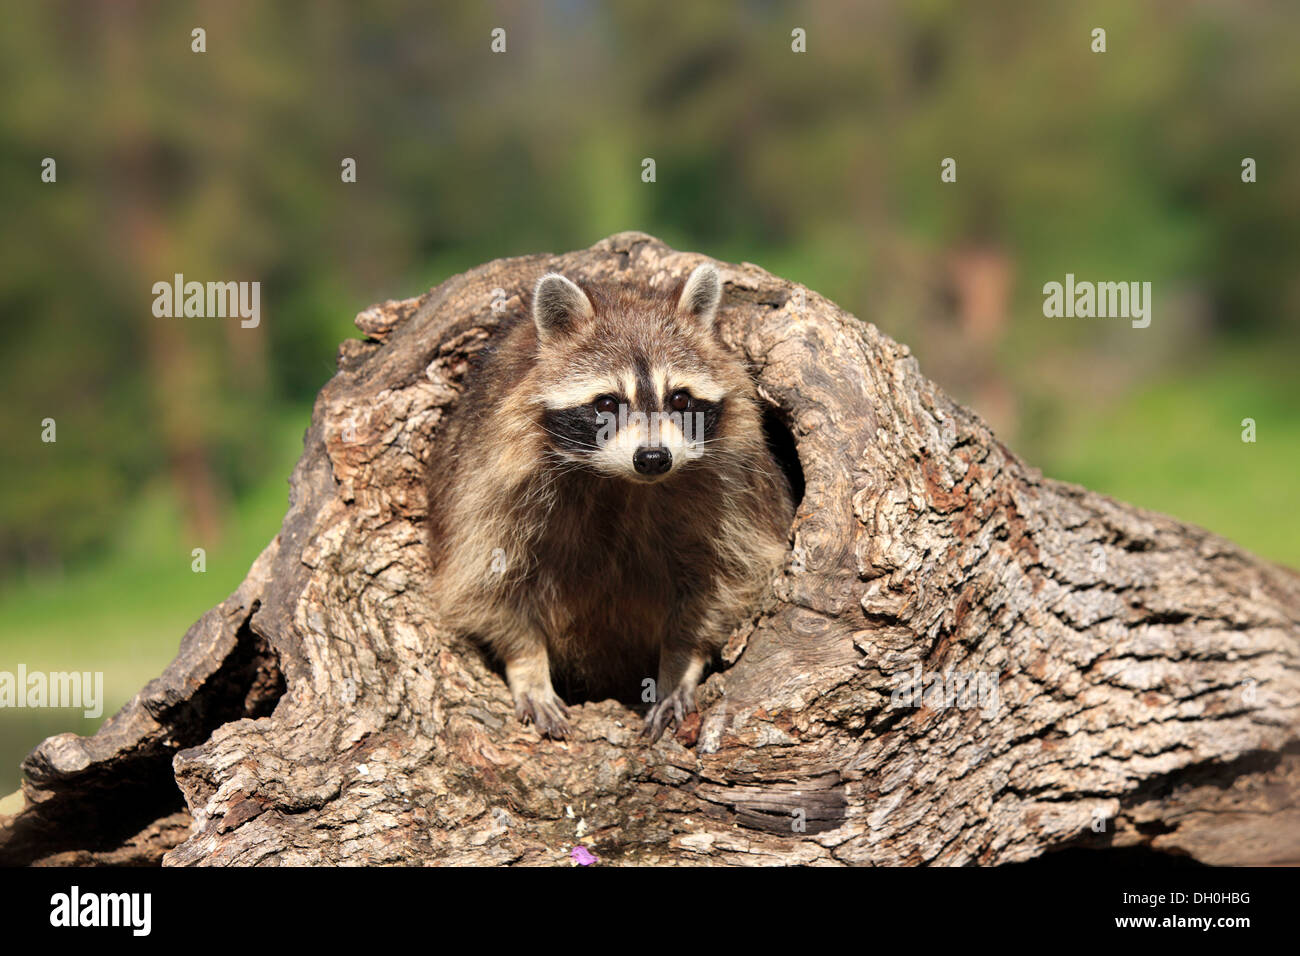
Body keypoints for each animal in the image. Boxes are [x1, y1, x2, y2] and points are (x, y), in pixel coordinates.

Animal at [427, 264, 793, 741]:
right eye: (606, 403)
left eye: (679, 398)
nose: (654, 458)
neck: (624, 482)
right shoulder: (485, 482)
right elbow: (485, 583)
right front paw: (527, 664)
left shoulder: (734, 490)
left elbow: (727, 578)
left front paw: (680, 661)